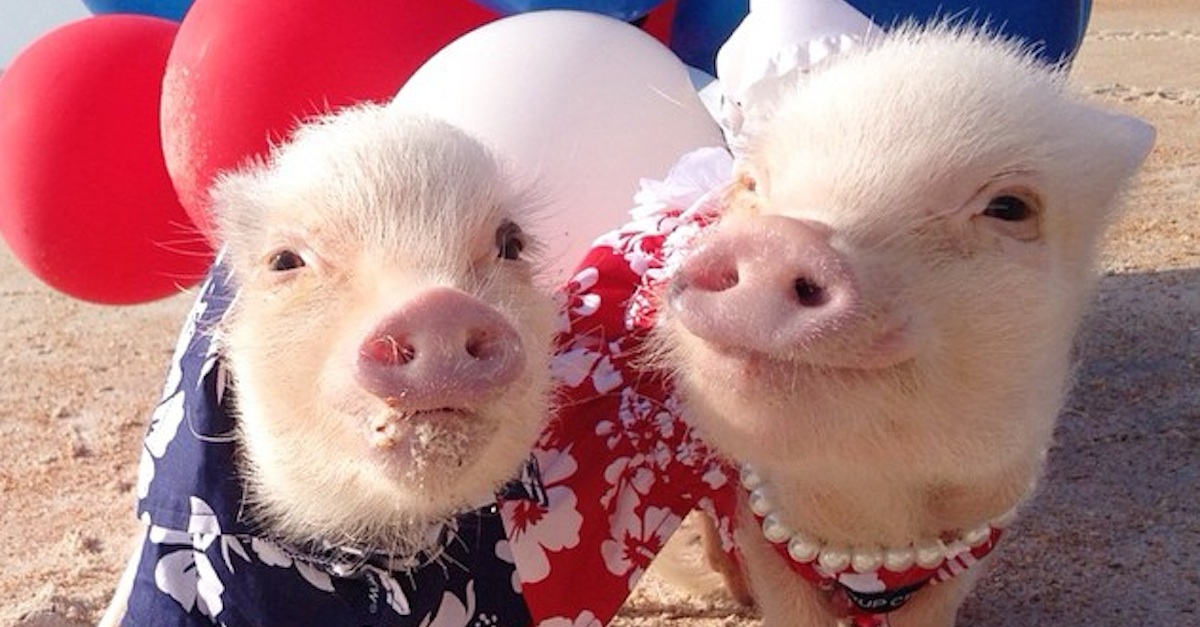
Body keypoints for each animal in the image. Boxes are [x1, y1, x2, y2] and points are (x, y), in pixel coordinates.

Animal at [651, 26, 1155, 627]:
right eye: (752, 184)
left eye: (1009, 207)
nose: (777, 238)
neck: (875, 517)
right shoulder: (759, 525)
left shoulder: (981, 532)